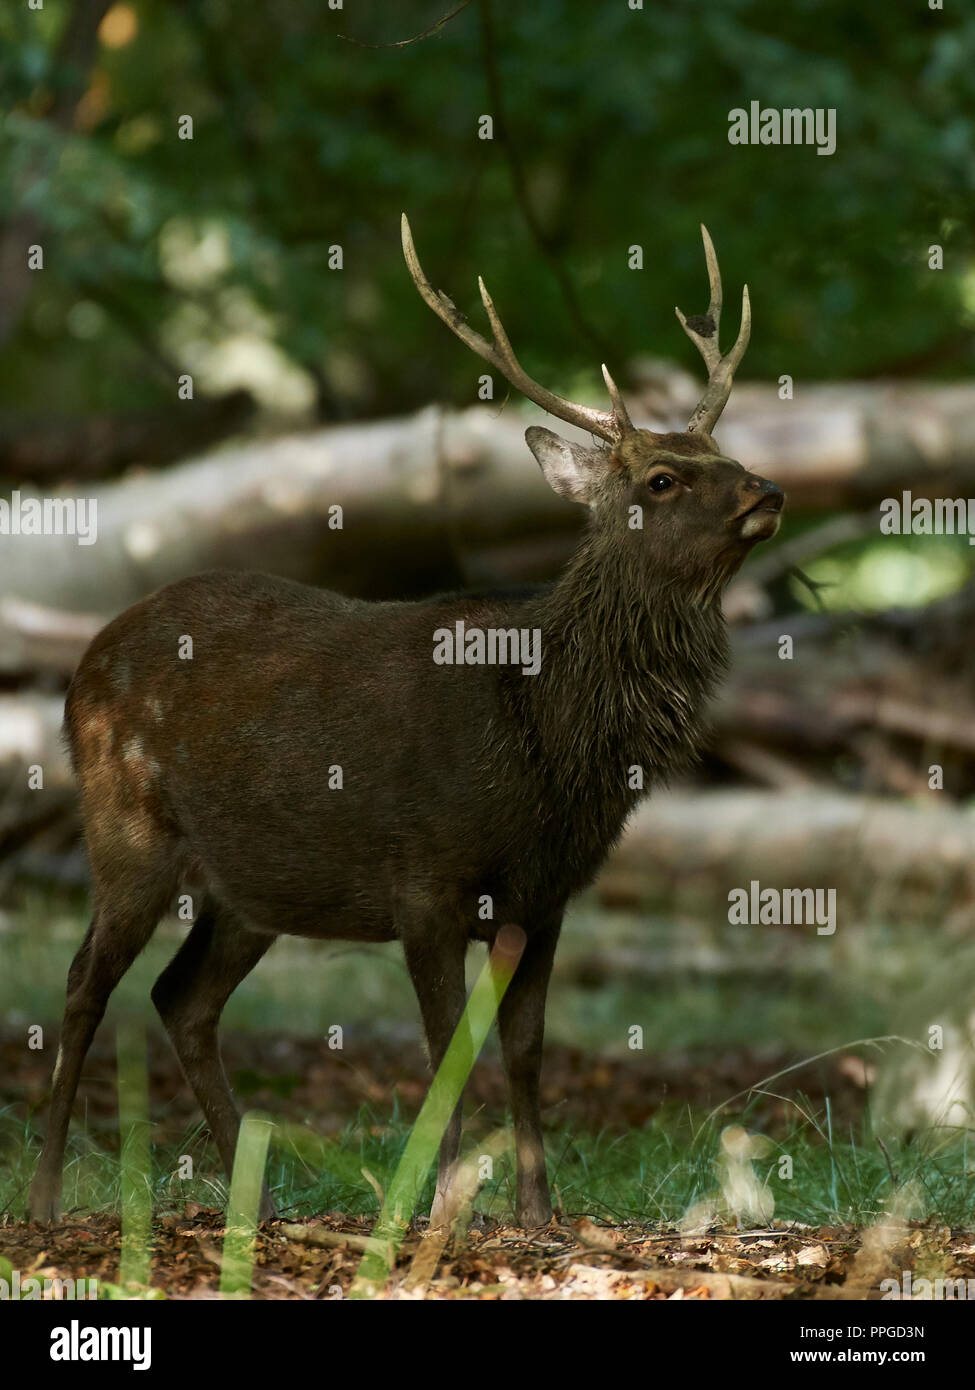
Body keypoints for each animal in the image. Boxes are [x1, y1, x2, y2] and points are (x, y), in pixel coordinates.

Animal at [27, 218, 783, 1230]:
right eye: (661, 479)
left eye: (726, 453)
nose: (764, 490)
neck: (550, 740)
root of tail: (82, 664)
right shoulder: (426, 877)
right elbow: (446, 1048)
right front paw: (438, 1209)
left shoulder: (546, 894)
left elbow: (526, 1048)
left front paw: (535, 1213)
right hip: (124, 824)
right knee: (84, 984)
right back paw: (45, 1195)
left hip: (250, 885)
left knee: (179, 996)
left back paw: (256, 1199)